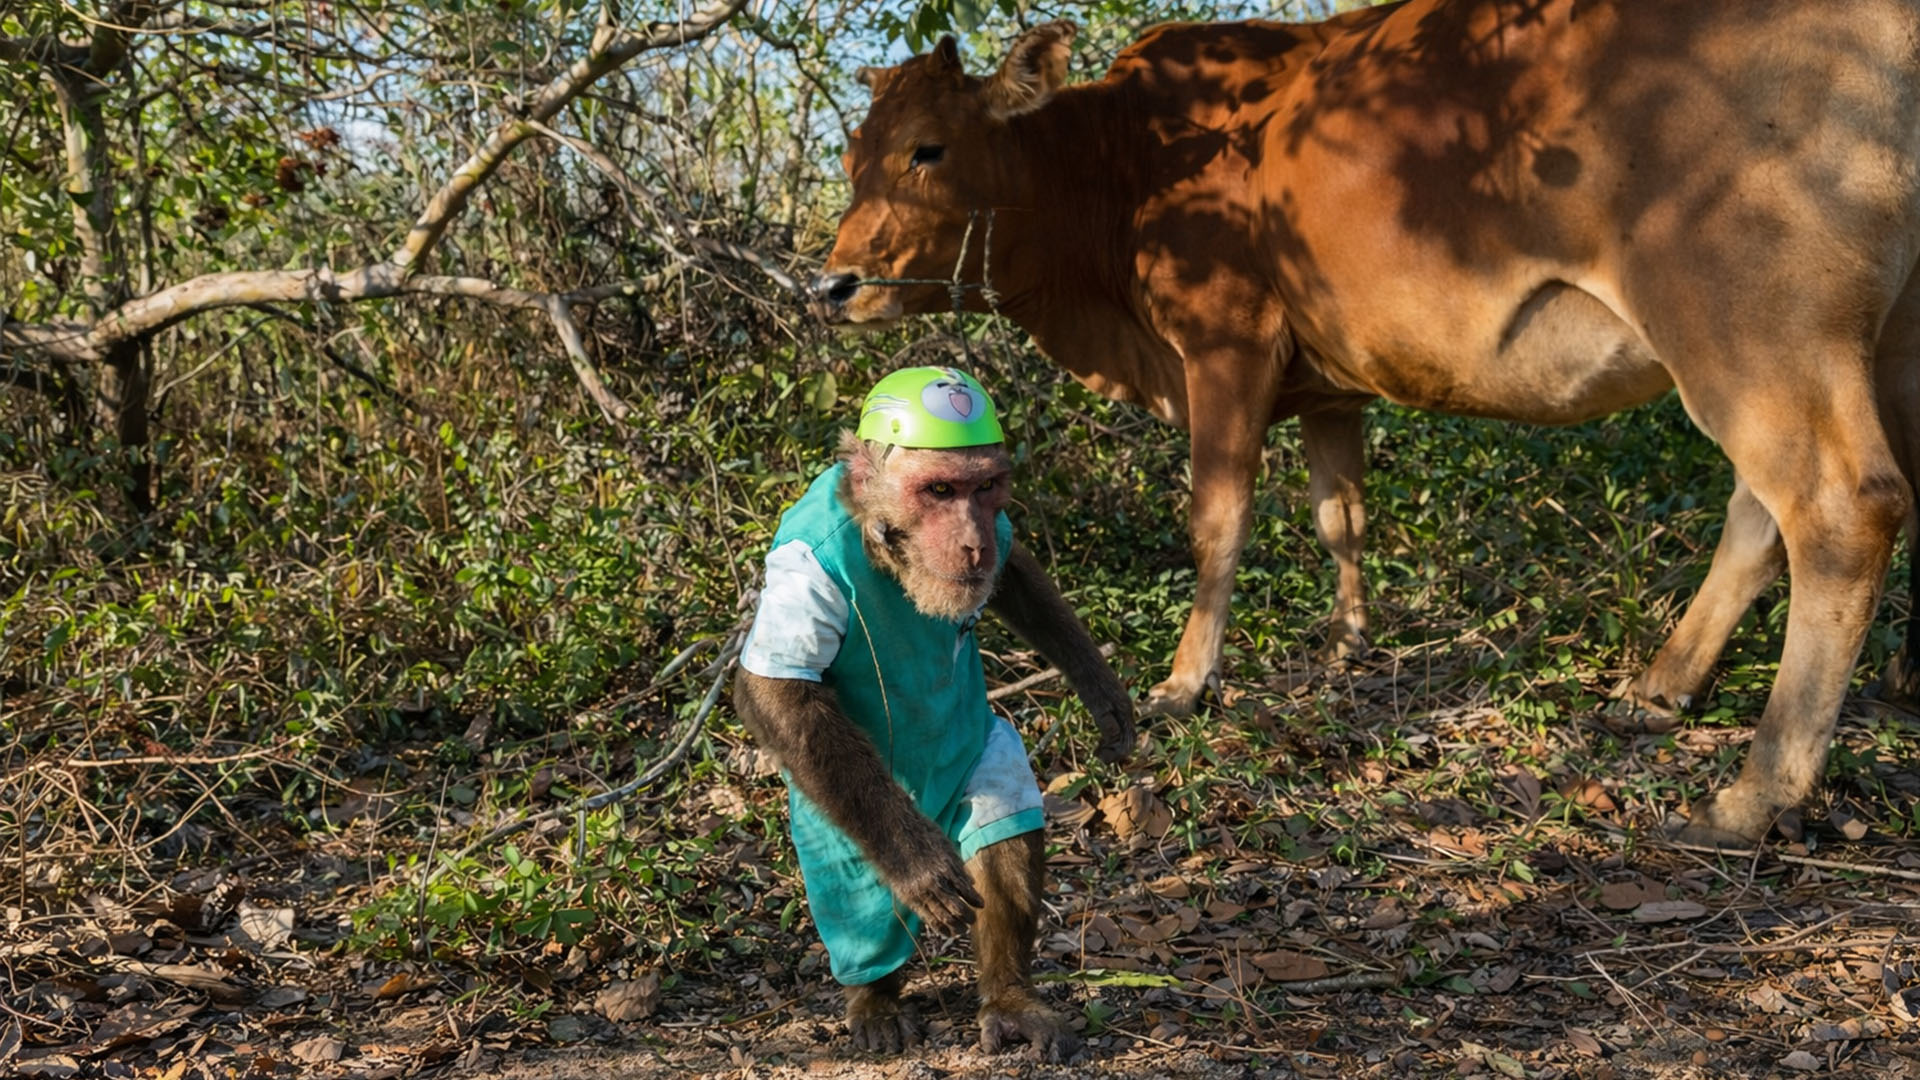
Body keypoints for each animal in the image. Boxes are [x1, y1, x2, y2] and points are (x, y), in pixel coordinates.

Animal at [810, 0, 1920, 847]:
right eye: (854, 153)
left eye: (928, 148)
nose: (832, 283)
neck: (1124, 163)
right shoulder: (1329, 385)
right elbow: (1340, 514)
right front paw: (1348, 641)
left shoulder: (1225, 342)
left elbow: (1217, 522)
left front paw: (1186, 681)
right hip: (1867, 343)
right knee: (1764, 510)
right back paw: (1660, 689)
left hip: (1747, 323)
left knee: (1837, 507)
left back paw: (1755, 792)